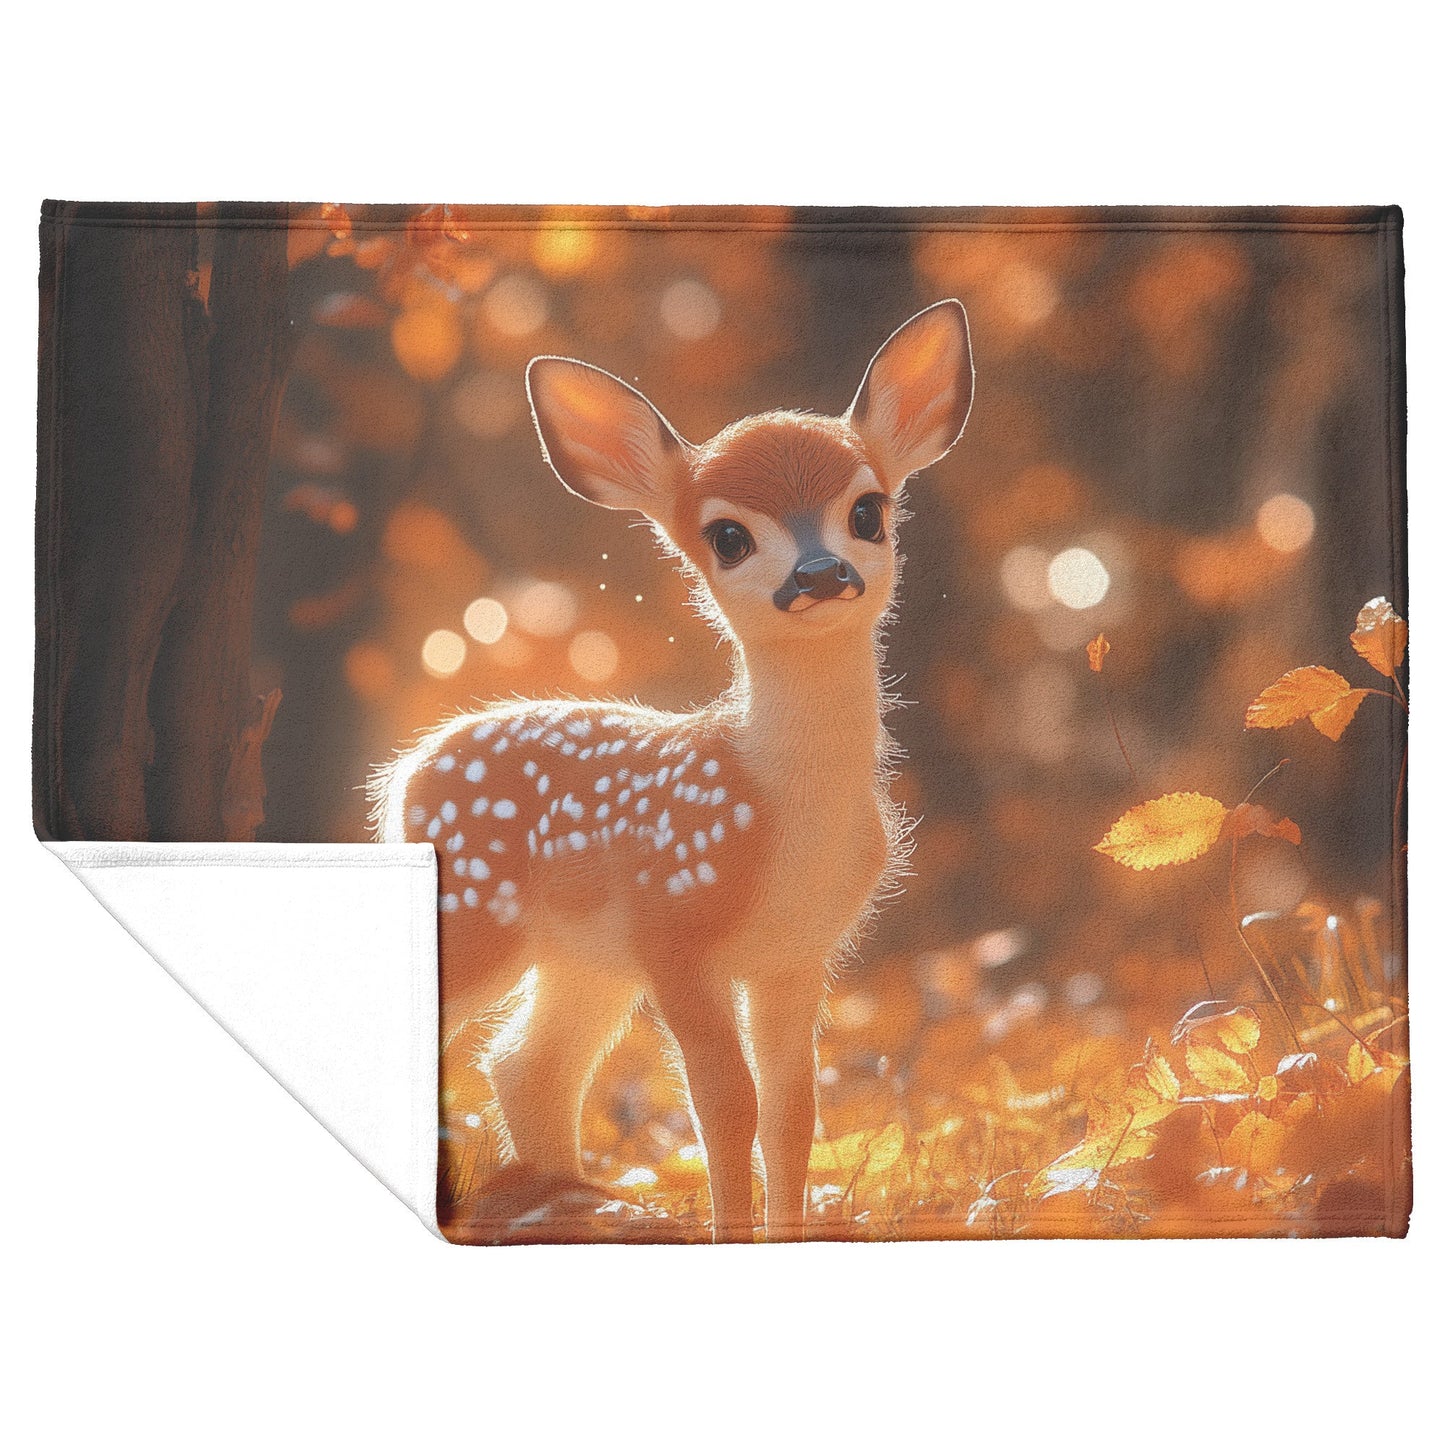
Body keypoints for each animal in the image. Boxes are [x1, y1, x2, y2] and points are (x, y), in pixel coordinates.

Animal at [373, 299, 974, 1242]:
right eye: (727, 536)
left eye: (867, 511)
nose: (819, 573)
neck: (781, 807)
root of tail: (404, 773)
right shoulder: (676, 931)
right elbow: (723, 1105)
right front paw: (732, 1236)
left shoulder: (796, 955)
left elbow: (792, 1111)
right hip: (477, 911)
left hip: (582, 956)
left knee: (526, 1063)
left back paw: (559, 1204)